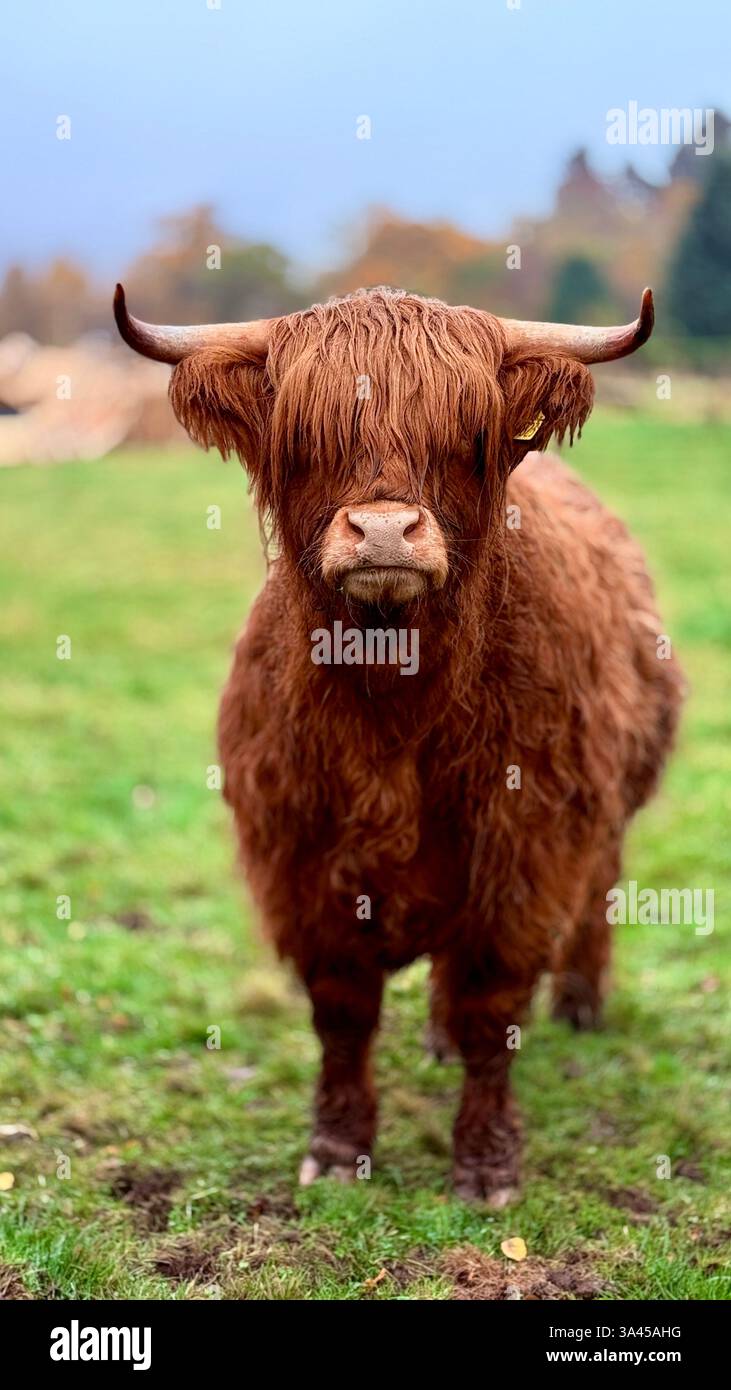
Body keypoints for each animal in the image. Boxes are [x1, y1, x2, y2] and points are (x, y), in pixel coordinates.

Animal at [114, 283, 684, 1204]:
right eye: (304, 439)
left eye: (467, 437)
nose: (383, 532)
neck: (393, 703)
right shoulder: (301, 863)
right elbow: (342, 1011)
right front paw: (338, 1147)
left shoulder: (526, 849)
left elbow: (492, 1005)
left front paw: (485, 1163)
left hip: (604, 804)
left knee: (599, 886)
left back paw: (580, 1003)